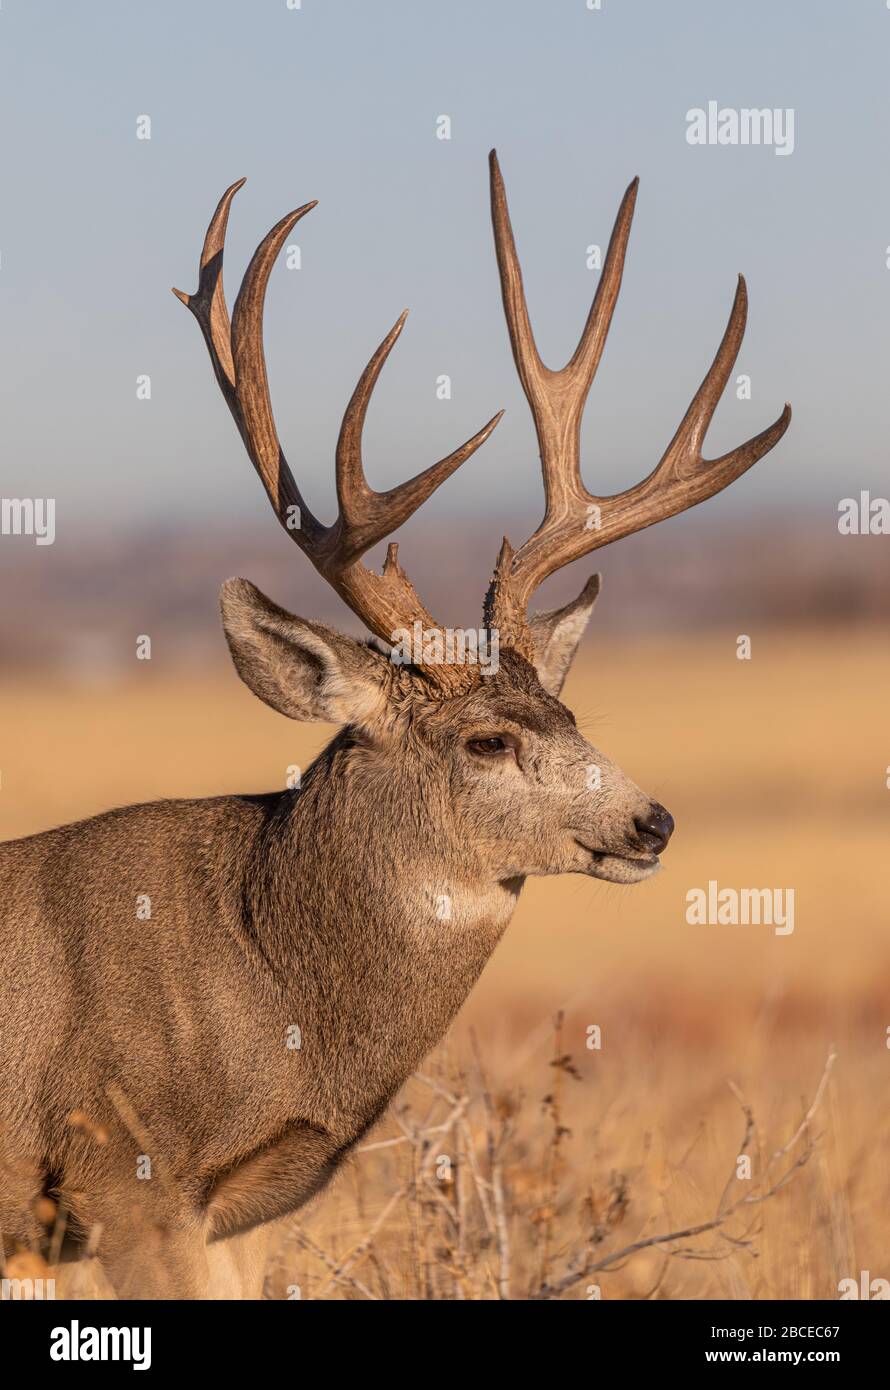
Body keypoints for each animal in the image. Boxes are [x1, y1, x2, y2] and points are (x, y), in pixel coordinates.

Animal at [0, 152, 790, 1299]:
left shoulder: (241, 1206)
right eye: (488, 739)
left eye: (568, 711)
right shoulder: (121, 1174)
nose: (652, 821)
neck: (263, 971)